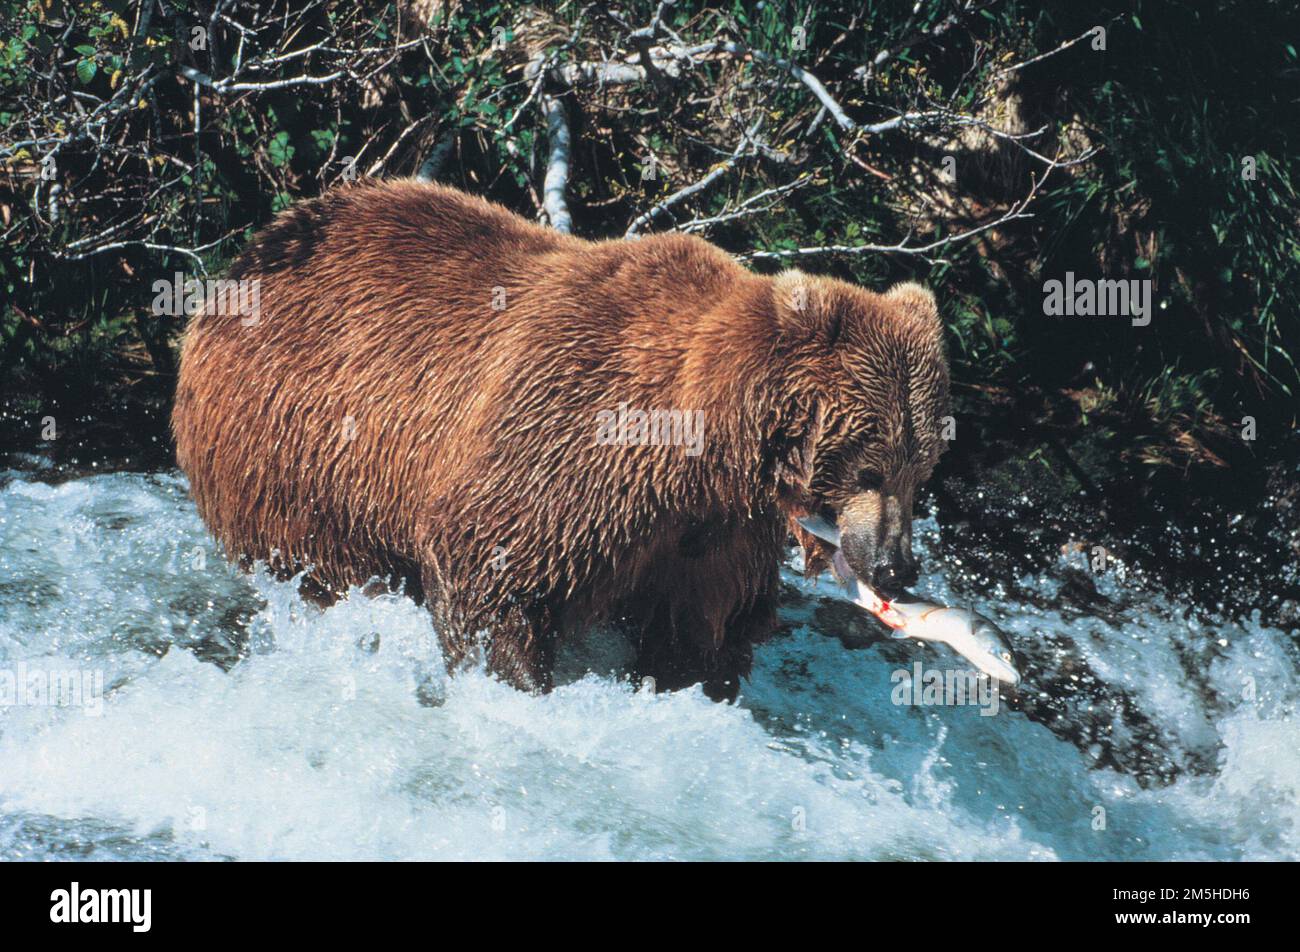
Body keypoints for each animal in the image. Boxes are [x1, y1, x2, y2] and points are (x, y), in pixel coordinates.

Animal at [172, 180, 950, 700]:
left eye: (922, 471)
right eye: (869, 466)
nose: (897, 566)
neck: (703, 445)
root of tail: (240, 265)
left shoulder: (711, 528)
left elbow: (704, 622)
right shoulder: (574, 433)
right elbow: (492, 565)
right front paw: (516, 681)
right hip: (296, 450)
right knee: (321, 566)